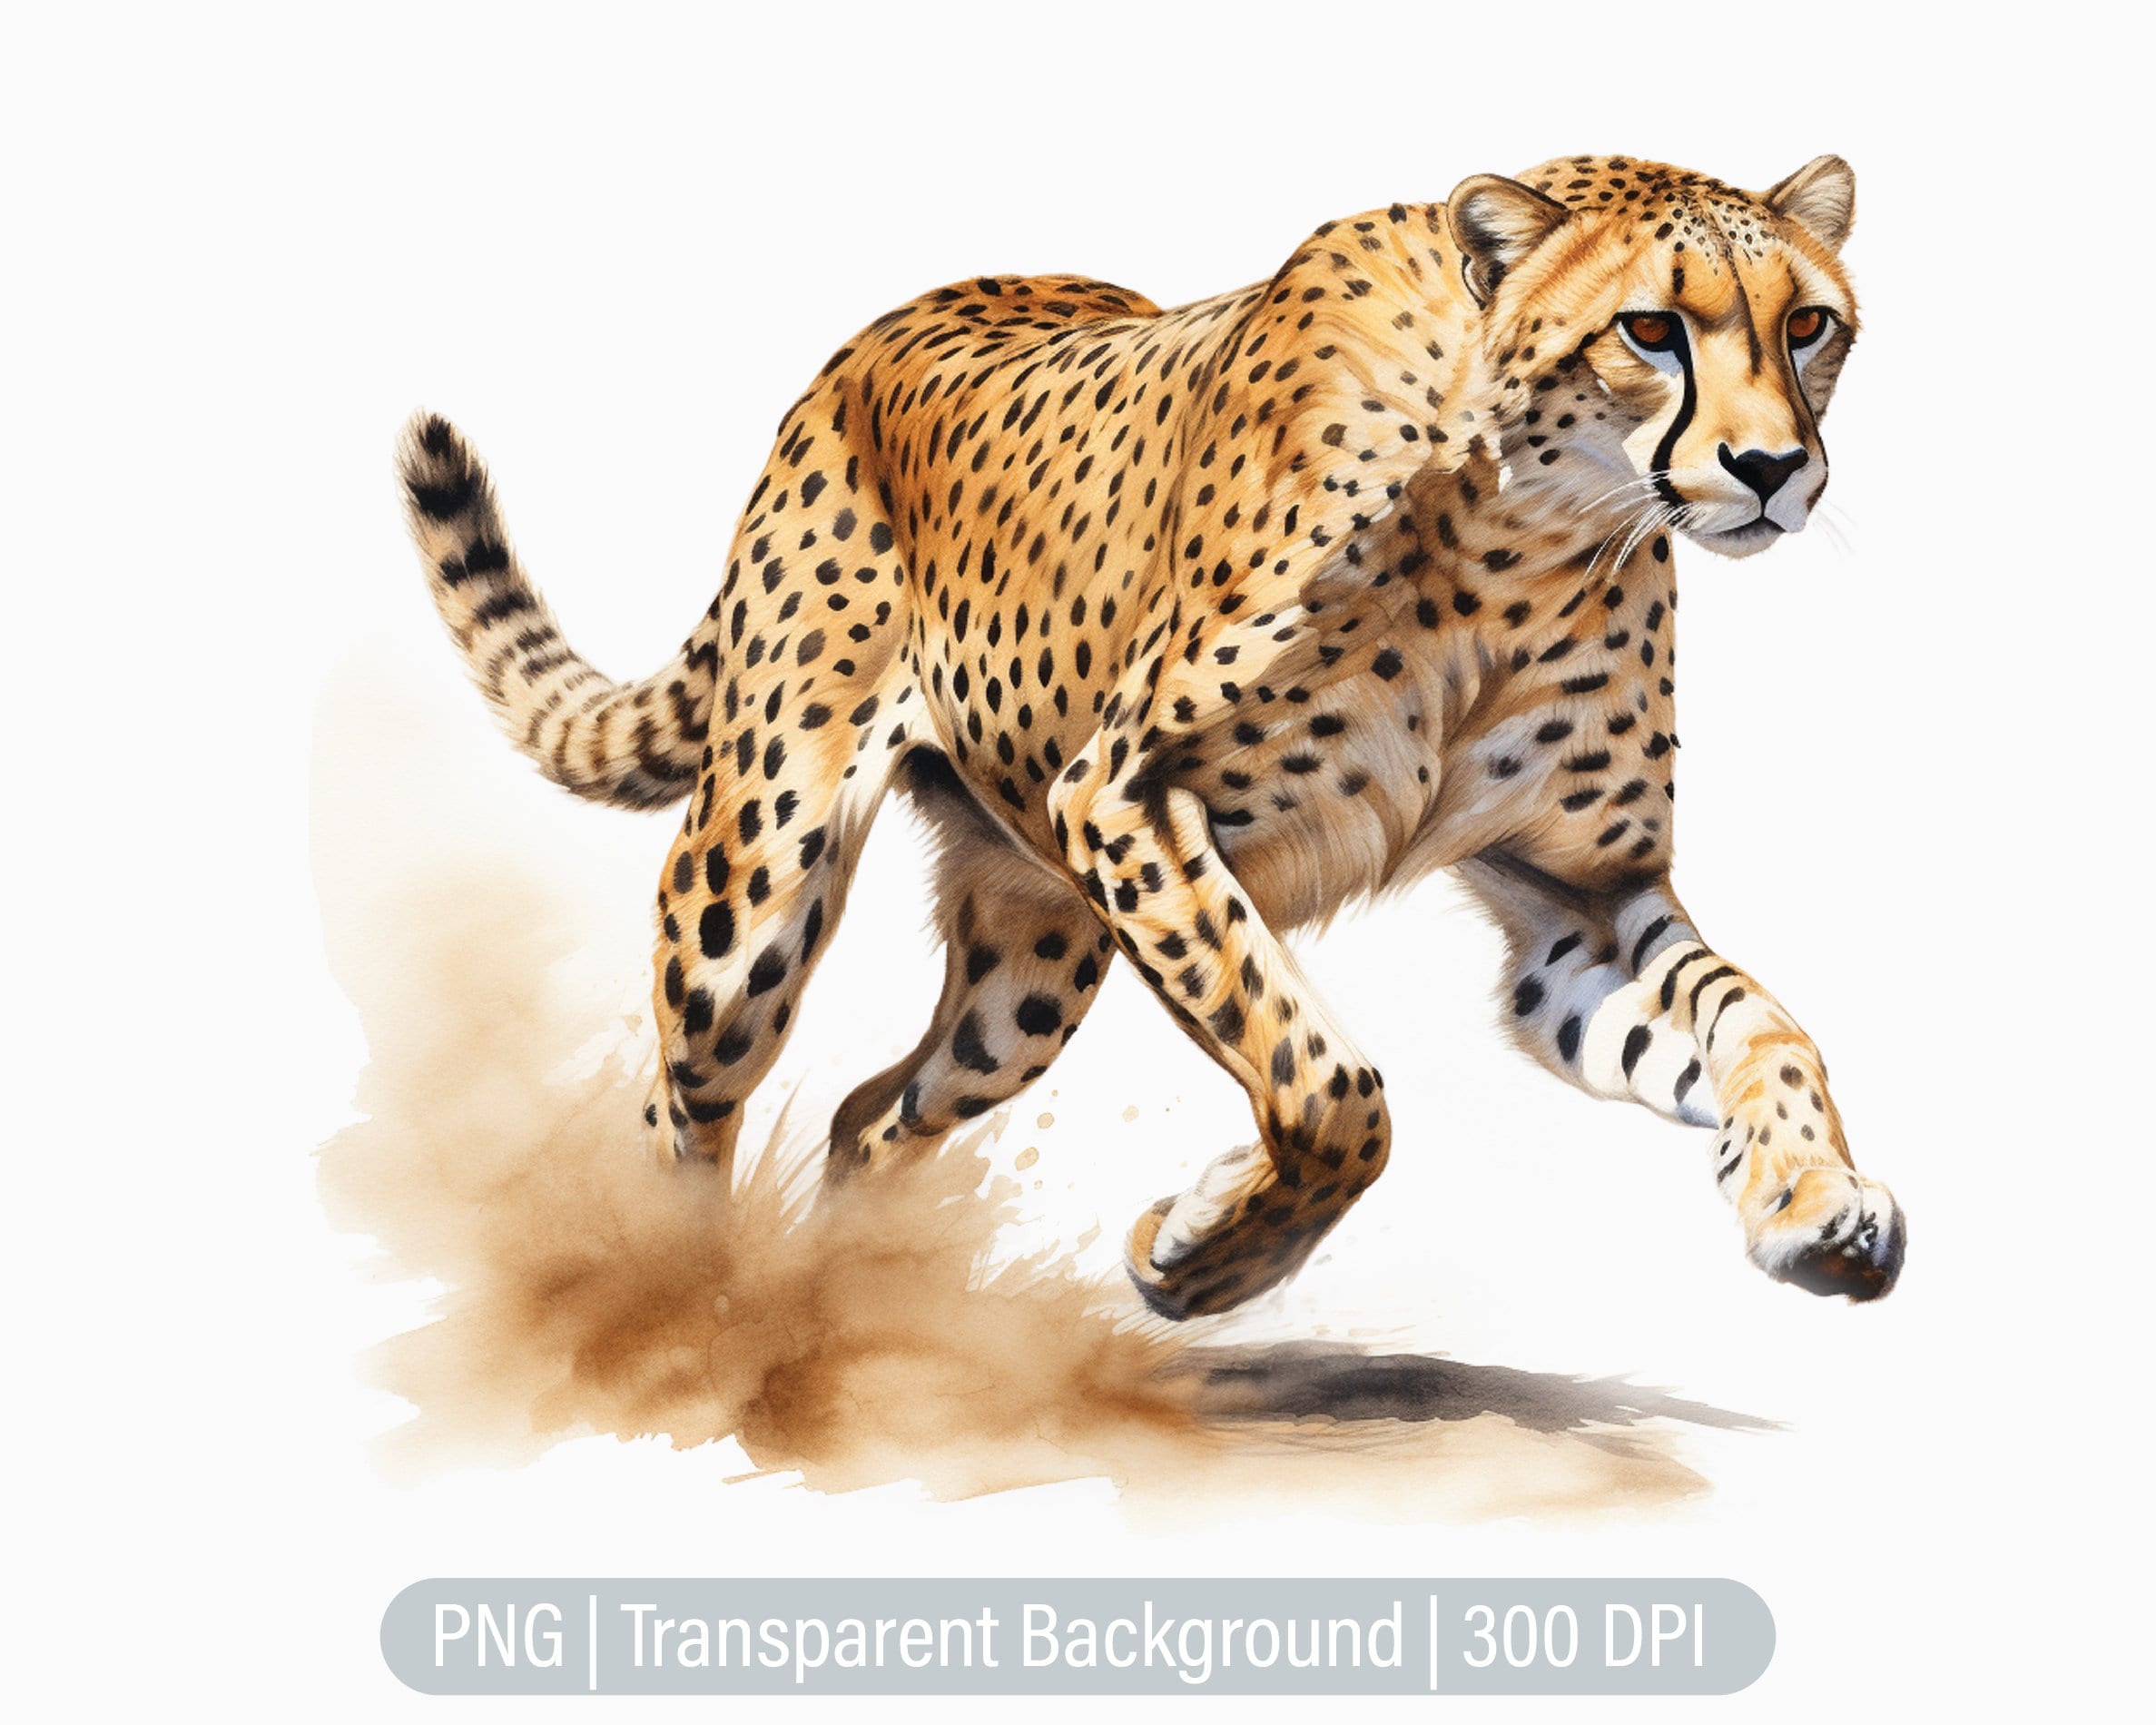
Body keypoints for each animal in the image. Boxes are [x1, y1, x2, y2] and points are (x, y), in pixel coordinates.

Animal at [398, 153, 1904, 1321]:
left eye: (1807, 326)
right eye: (1649, 330)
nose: (1772, 470)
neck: (1532, 535)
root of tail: (877, 331)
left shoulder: (1573, 895)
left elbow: (1754, 1024)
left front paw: (1810, 1200)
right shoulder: (1122, 796)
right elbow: (1325, 1081)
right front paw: (1208, 1257)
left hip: (1028, 965)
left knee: (870, 1119)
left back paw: (847, 1309)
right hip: (759, 882)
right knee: (682, 1107)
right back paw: (680, 1308)